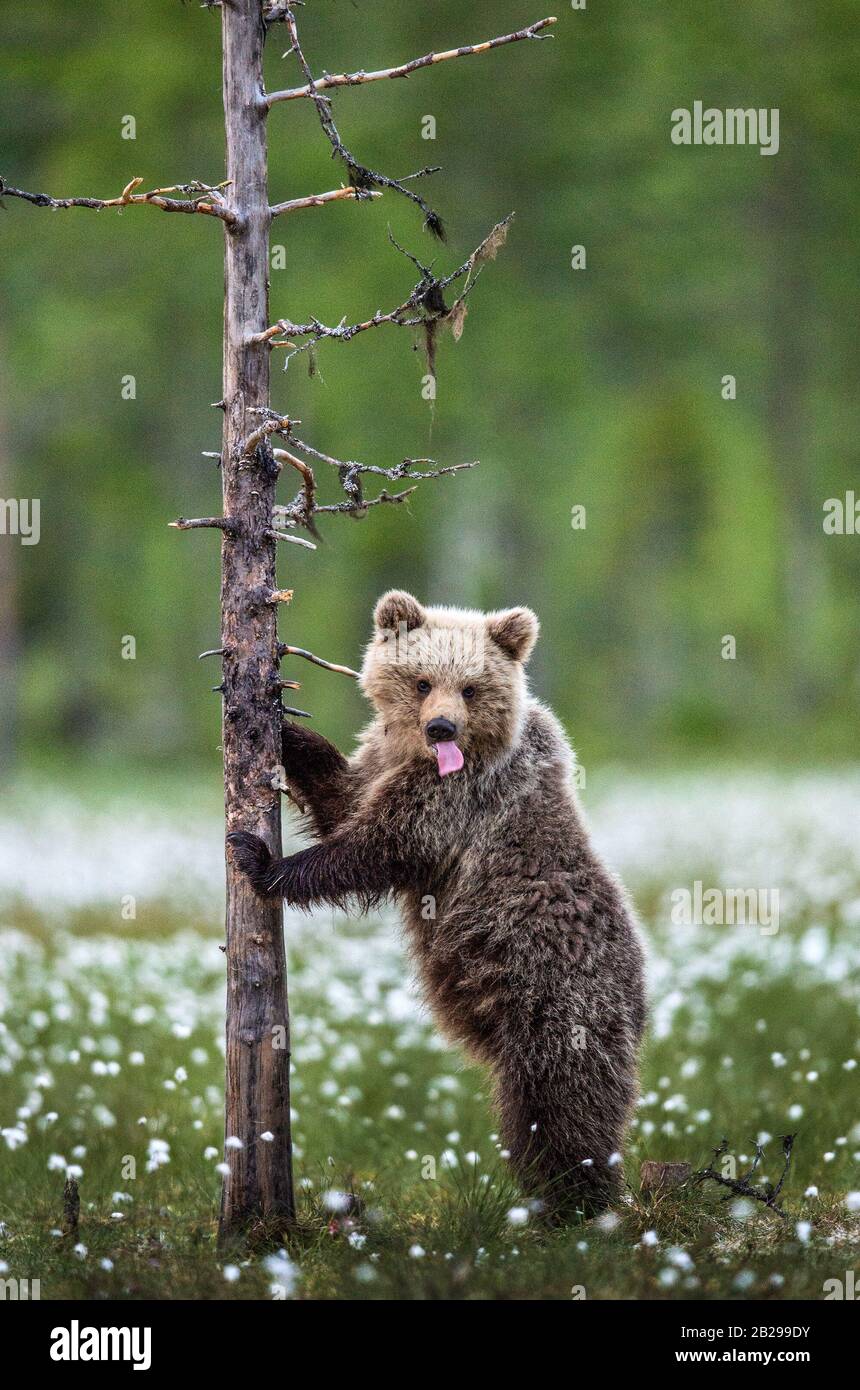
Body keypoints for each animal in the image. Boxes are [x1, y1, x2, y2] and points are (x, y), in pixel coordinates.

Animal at [228, 590, 647, 1217]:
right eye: (422, 680)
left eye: (471, 687)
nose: (441, 726)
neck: (426, 757)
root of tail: (643, 995)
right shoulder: (383, 762)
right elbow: (342, 798)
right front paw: (278, 721)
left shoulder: (460, 800)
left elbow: (378, 846)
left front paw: (260, 858)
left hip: (559, 1001)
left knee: (561, 1105)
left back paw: (575, 1202)